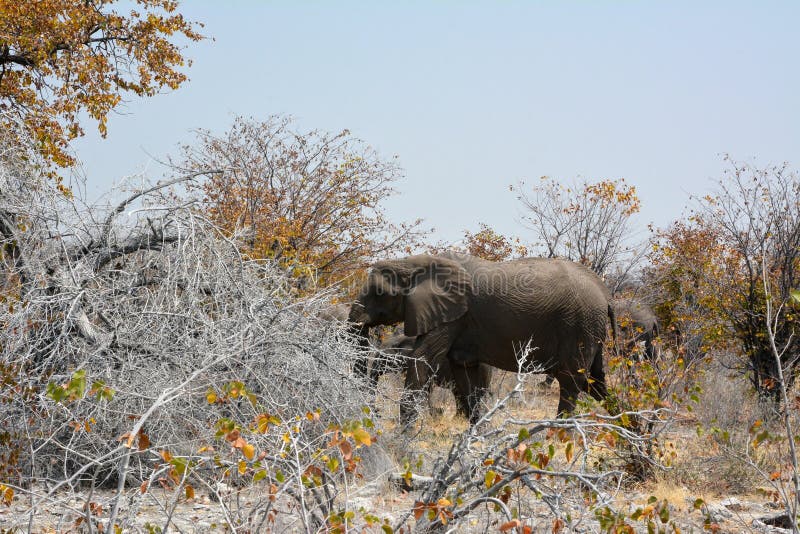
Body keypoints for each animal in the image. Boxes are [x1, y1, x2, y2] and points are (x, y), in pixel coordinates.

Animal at [348, 252, 615, 424]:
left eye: (378, 293)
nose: (374, 416)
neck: (411, 262)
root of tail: (606, 294)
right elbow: (465, 376)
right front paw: (476, 436)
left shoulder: (452, 315)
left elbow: (423, 360)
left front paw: (402, 443)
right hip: (591, 328)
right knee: (596, 382)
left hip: (579, 325)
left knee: (571, 381)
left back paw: (560, 434)